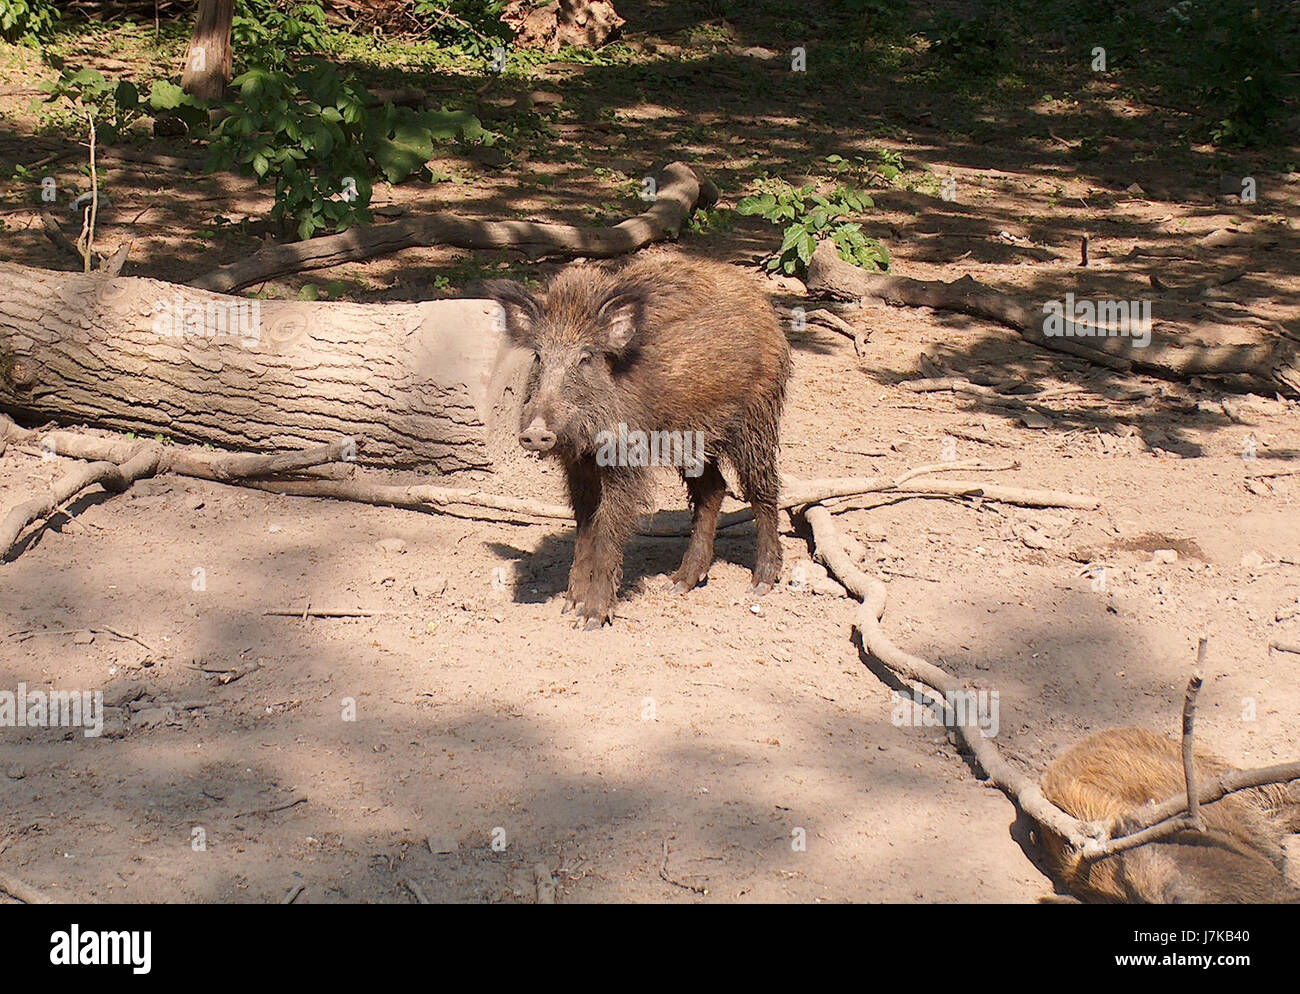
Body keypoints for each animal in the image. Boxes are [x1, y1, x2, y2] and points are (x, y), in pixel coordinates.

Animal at [482, 248, 792, 629]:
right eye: (539, 355)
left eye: (585, 357)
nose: (536, 432)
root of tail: (761, 304)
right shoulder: (577, 466)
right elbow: (585, 527)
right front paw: (570, 606)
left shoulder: (626, 461)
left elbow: (608, 530)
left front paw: (590, 619)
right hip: (693, 439)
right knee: (714, 489)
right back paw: (679, 584)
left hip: (756, 418)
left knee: (763, 489)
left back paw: (760, 584)